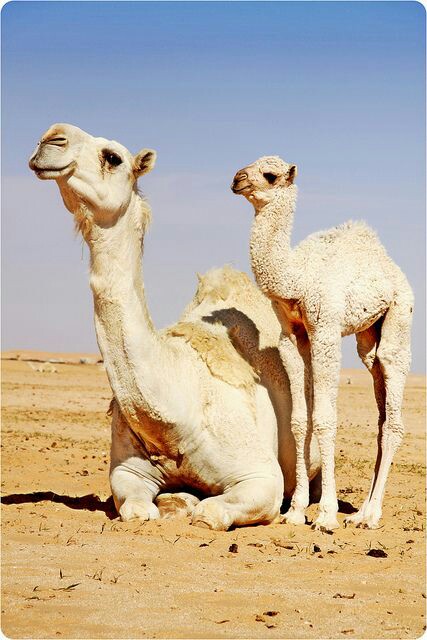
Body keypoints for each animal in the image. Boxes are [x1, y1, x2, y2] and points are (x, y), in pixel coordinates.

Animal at [29, 125, 321, 530]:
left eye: (113, 157)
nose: (52, 138)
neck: (175, 416)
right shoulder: (126, 472)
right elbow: (138, 508)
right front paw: (174, 499)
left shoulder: (262, 476)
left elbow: (210, 512)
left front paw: (192, 504)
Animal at [232, 155, 413, 531]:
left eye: (269, 175)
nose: (237, 179)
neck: (297, 278)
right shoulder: (292, 337)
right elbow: (300, 421)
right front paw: (295, 511)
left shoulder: (326, 331)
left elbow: (326, 419)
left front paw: (326, 514)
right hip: (367, 338)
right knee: (377, 392)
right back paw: (360, 512)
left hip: (400, 315)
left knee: (393, 406)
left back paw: (371, 516)